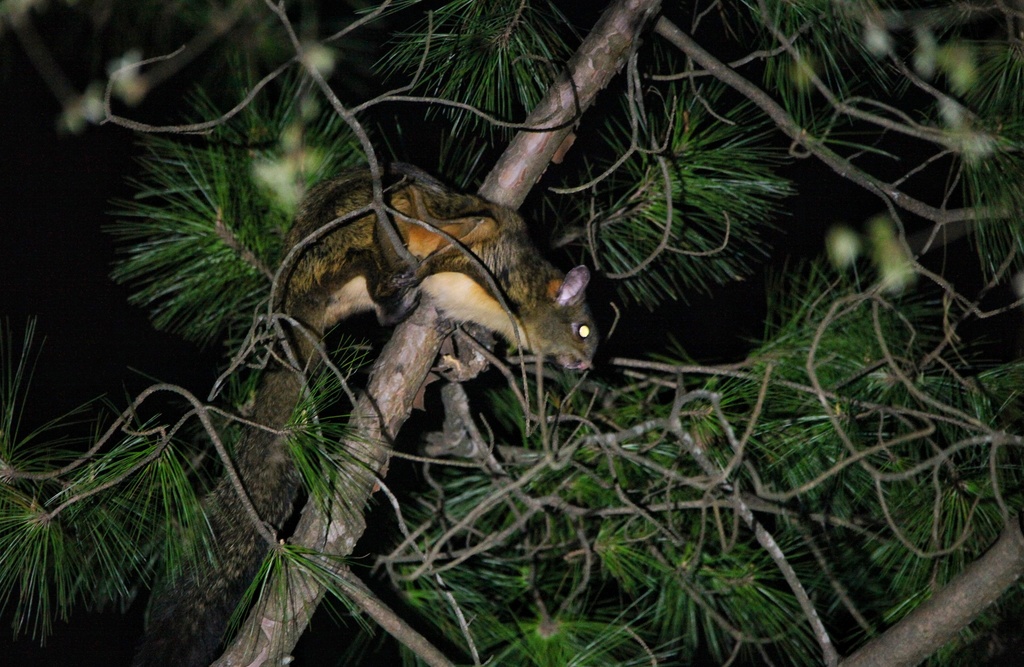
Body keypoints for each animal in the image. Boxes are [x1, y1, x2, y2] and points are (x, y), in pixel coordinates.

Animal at [132, 165, 597, 666]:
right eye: (582, 330)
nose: (586, 366)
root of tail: (287, 298)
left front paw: (460, 359)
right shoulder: (485, 246)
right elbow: (449, 217)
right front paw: (433, 236)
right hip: (334, 247)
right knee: (384, 235)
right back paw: (400, 281)